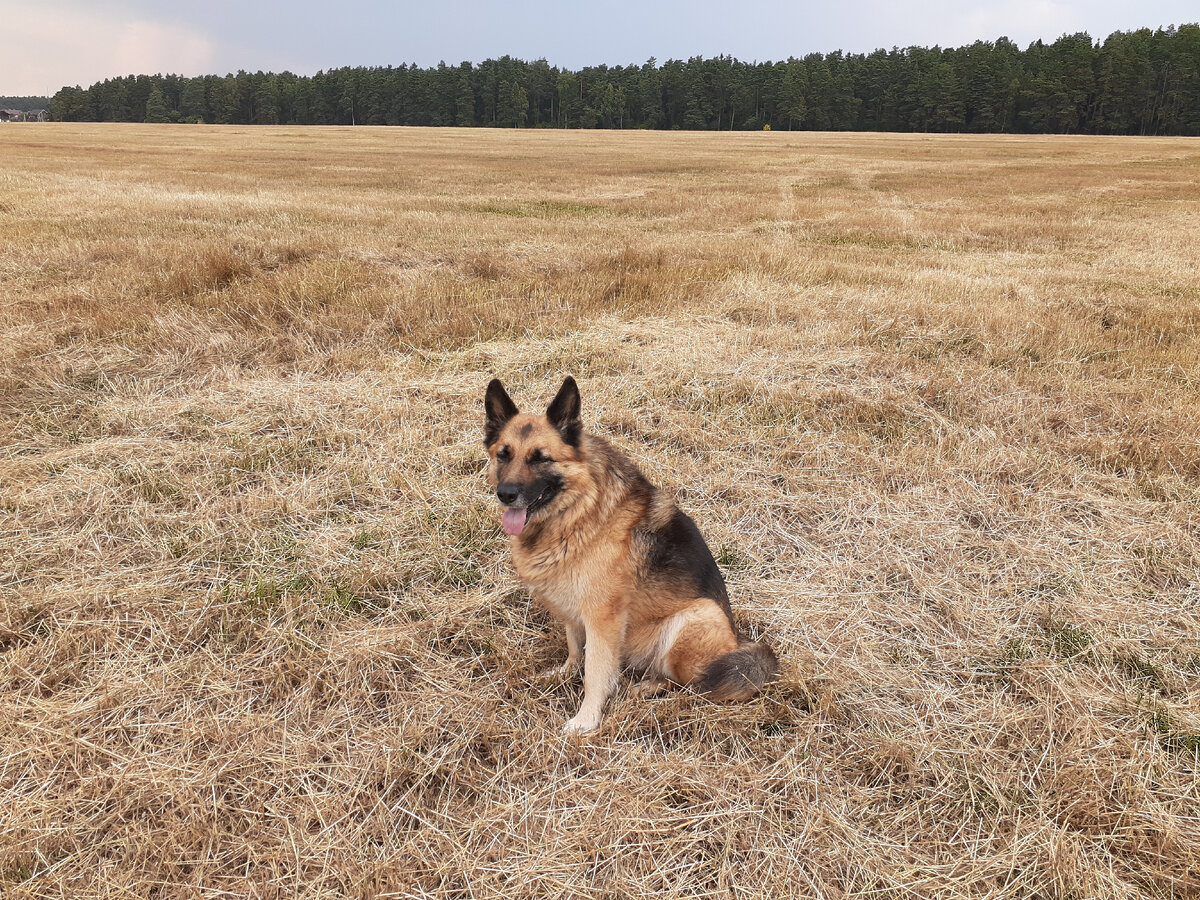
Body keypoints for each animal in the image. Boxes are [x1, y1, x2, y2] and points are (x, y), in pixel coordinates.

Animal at [484, 374, 777, 734]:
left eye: (541, 458)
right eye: (503, 455)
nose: (506, 494)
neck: (576, 511)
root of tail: (737, 642)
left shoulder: (603, 619)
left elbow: (595, 672)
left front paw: (586, 720)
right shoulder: (572, 608)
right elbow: (574, 648)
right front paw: (564, 673)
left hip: (696, 617)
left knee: (691, 684)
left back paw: (651, 687)